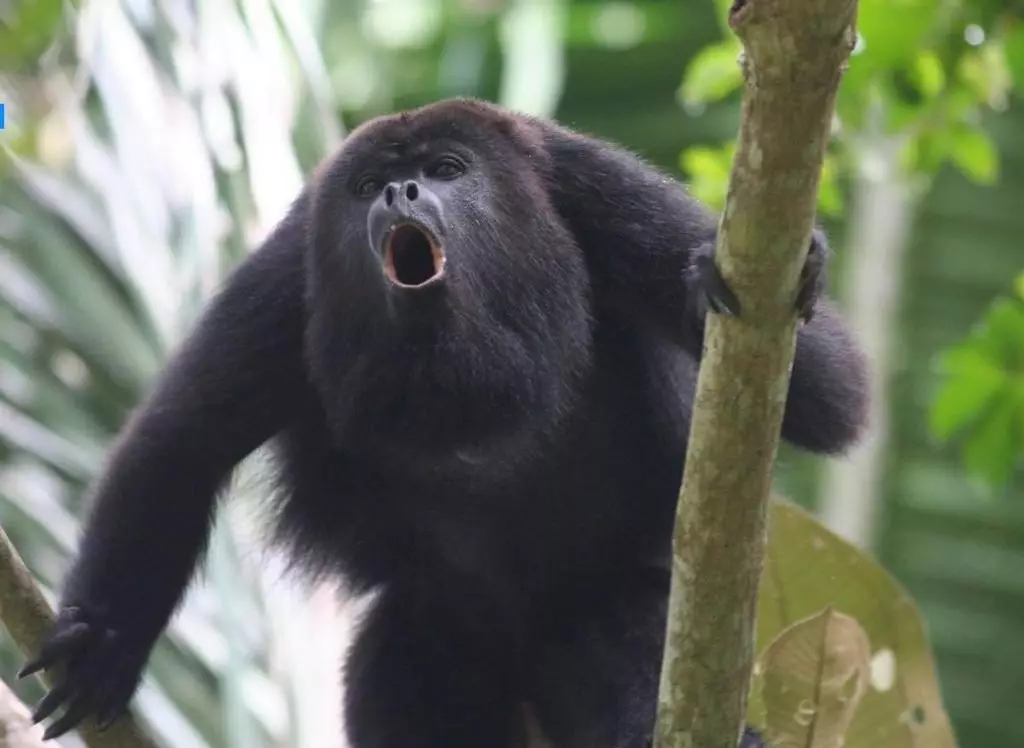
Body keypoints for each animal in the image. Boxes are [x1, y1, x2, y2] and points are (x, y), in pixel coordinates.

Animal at [19, 98, 868, 745]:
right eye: (370, 184)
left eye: (448, 171)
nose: (400, 193)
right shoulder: (292, 269)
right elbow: (182, 441)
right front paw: (105, 644)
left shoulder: (595, 187)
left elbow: (834, 396)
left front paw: (710, 283)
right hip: (437, 629)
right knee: (408, 661)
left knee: (624, 644)